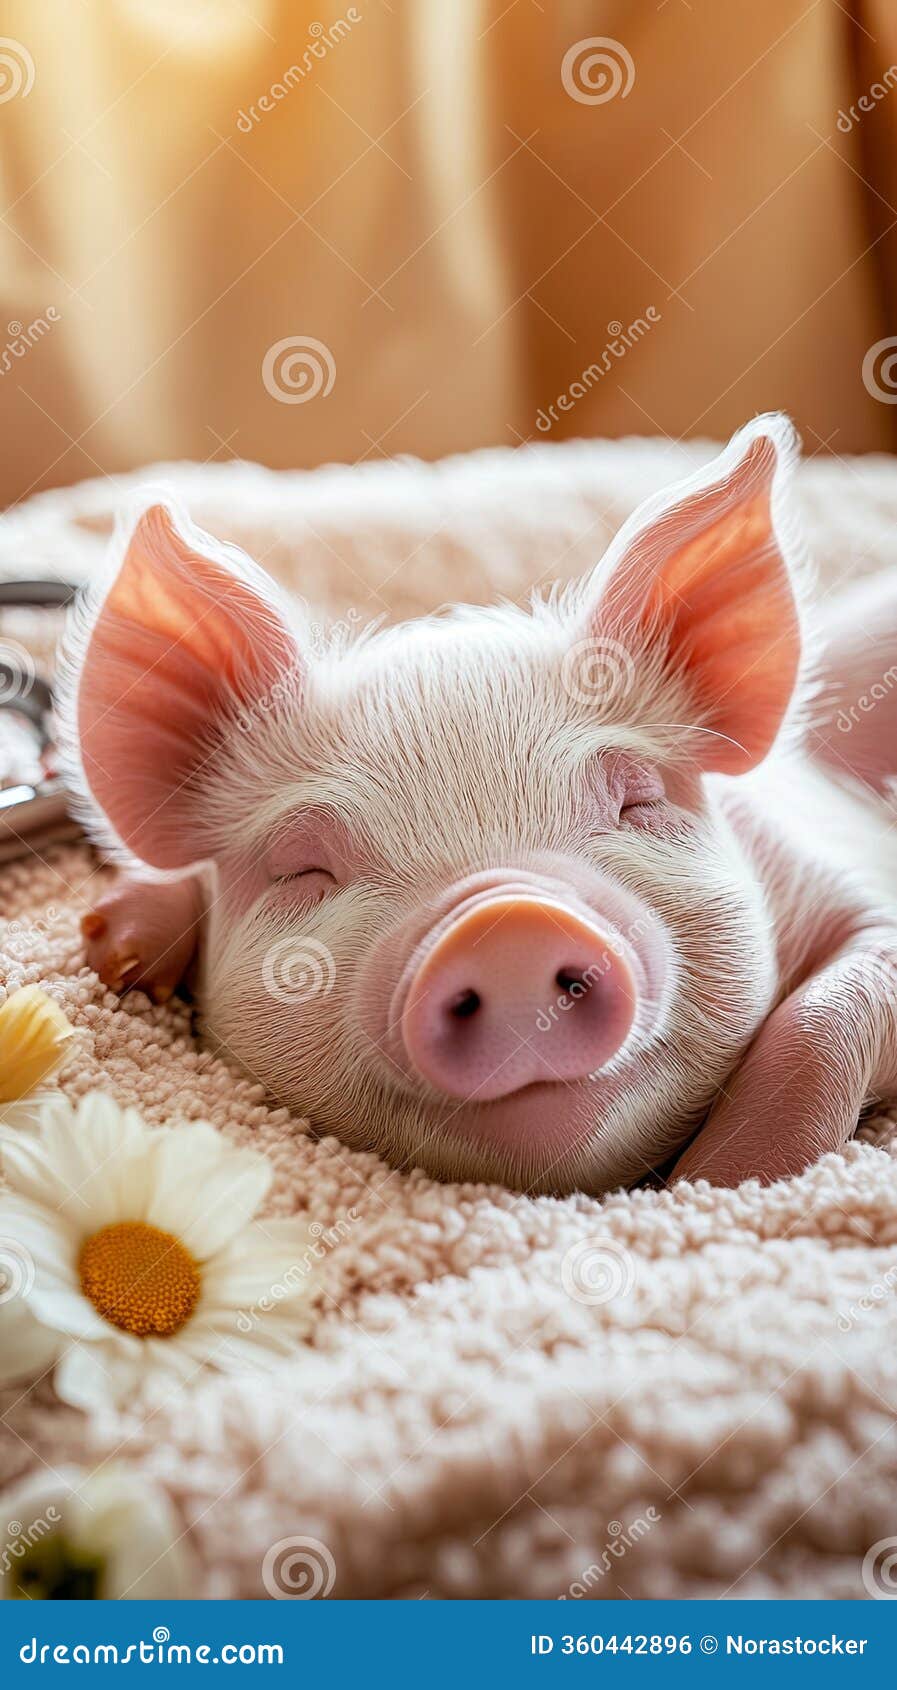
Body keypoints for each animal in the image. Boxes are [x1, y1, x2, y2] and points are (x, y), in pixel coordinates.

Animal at [60, 413, 897, 1195]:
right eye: (302, 868)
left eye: (637, 799)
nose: (509, 922)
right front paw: (117, 947)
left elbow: (825, 1017)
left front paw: (723, 1183)